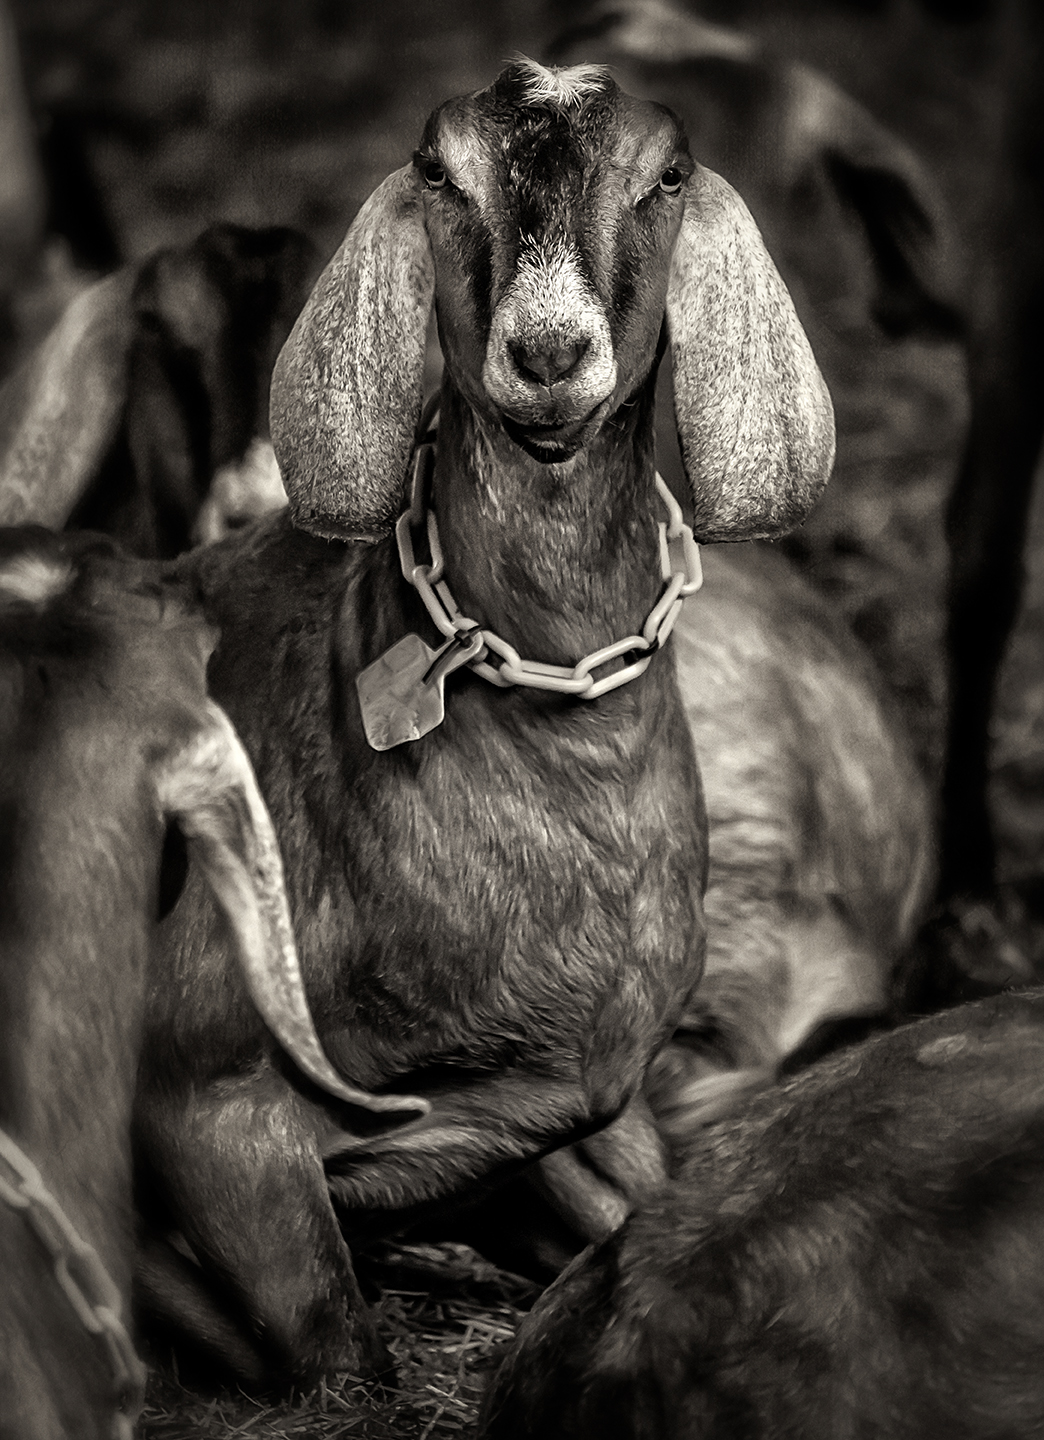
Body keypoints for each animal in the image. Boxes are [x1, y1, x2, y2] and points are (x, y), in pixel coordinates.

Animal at [132, 58, 833, 1387]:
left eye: (667, 173)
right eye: (439, 172)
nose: (548, 351)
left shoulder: (585, 1115)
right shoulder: (211, 1106)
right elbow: (338, 1350)